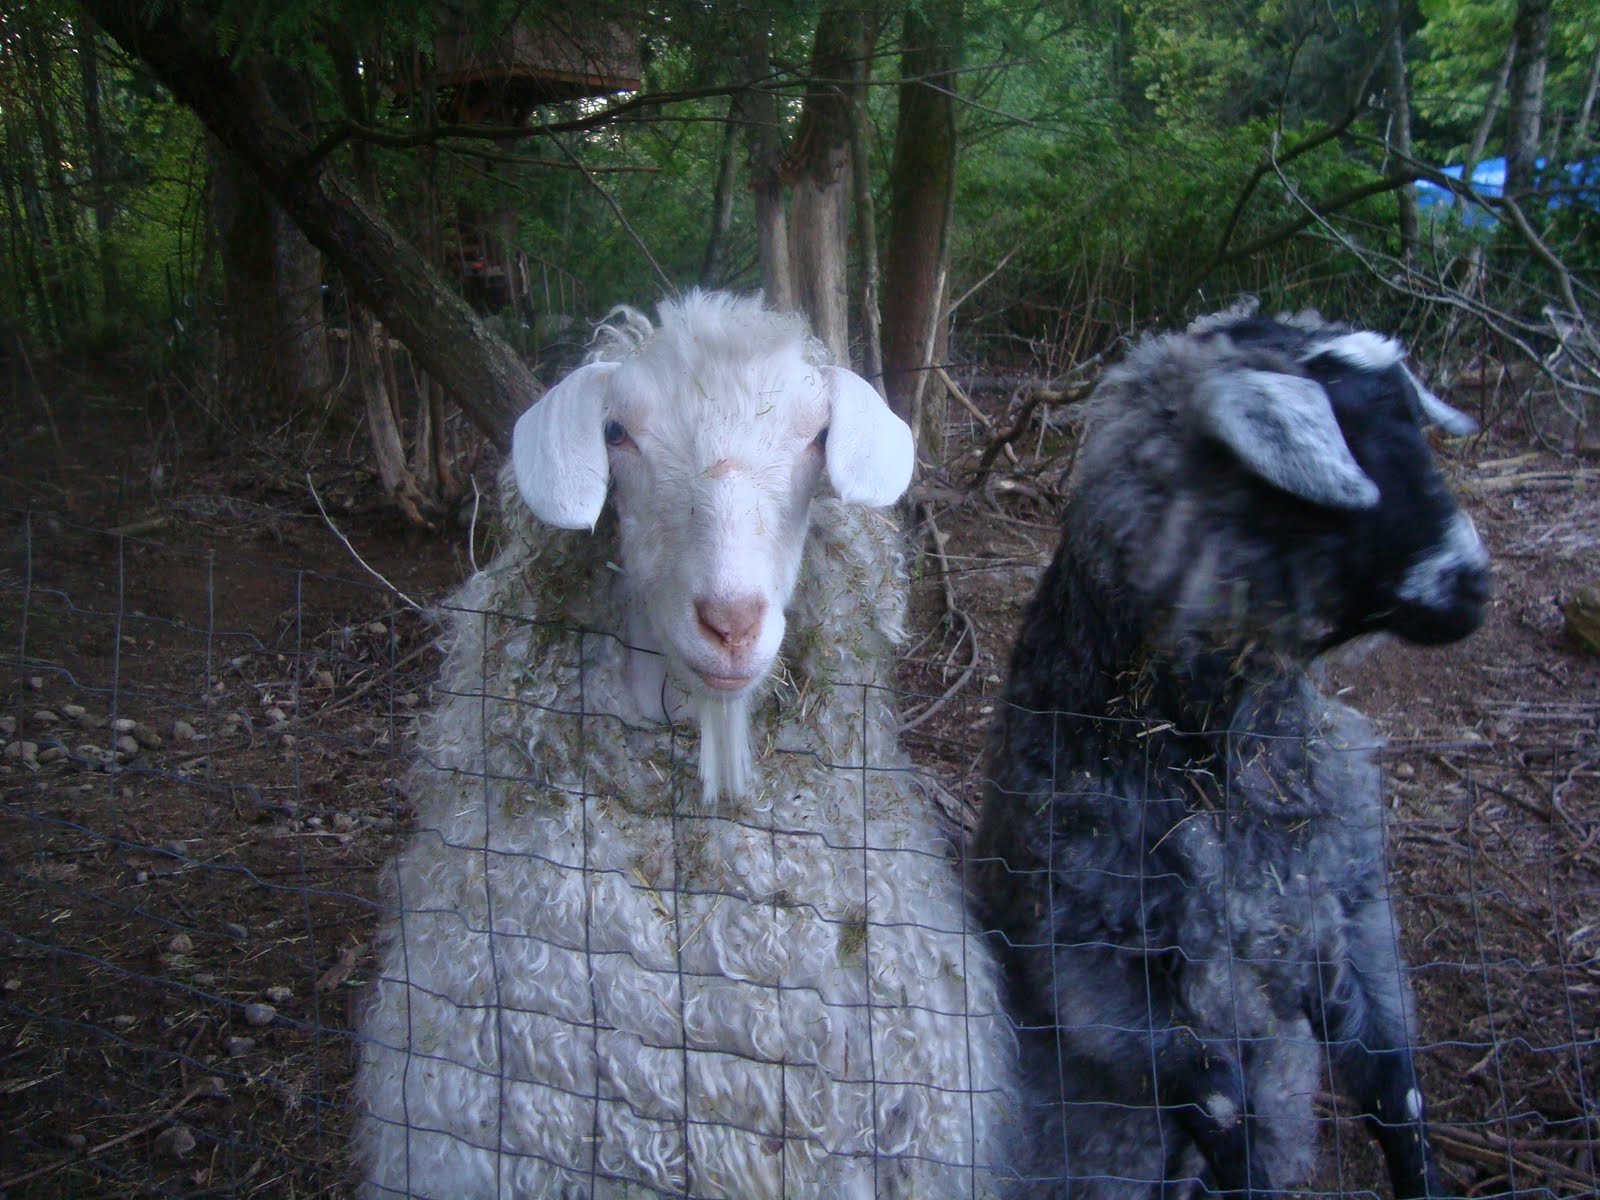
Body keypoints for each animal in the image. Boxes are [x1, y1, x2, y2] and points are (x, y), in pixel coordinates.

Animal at [973, 306, 1489, 1198]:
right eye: (1347, 435)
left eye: (1411, 422)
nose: (1472, 584)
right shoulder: (1112, 978)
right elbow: (1225, 1123)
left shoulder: (1347, 917)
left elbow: (1399, 1097)